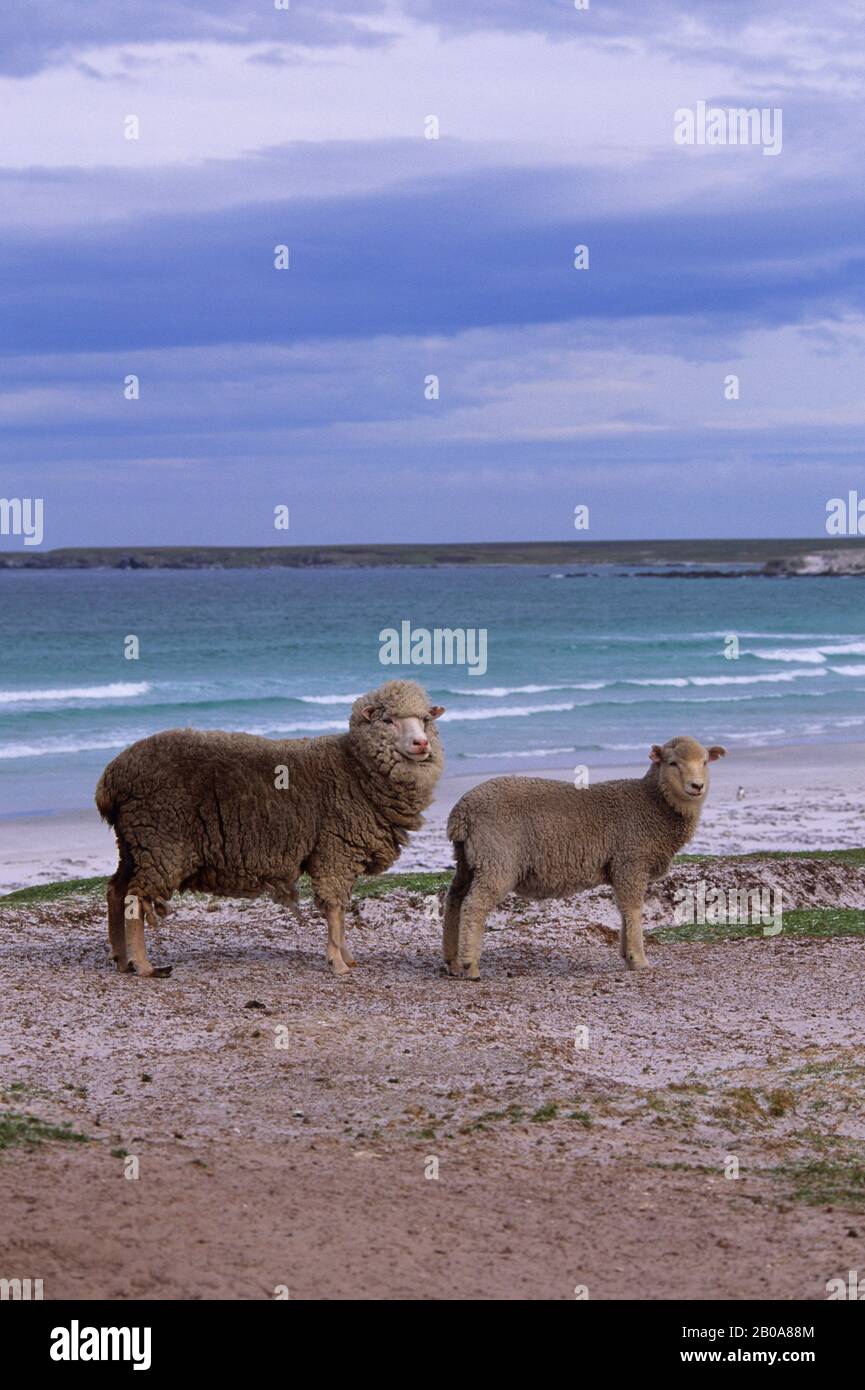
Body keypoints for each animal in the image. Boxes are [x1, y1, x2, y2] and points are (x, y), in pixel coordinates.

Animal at [95, 679, 445, 978]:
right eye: (388, 721)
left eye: (424, 719)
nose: (422, 743)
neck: (354, 768)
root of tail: (111, 779)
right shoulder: (335, 850)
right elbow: (335, 909)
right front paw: (337, 962)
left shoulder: (340, 854)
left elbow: (342, 909)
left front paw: (345, 955)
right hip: (160, 842)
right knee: (136, 897)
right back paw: (144, 965)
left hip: (135, 843)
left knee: (116, 890)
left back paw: (122, 959)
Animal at [443, 736, 726, 979]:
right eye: (672, 763)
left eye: (704, 762)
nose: (697, 786)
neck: (652, 804)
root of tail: (462, 812)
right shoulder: (631, 861)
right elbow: (633, 909)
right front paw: (639, 960)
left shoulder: (621, 867)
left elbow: (624, 910)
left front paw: (627, 956)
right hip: (497, 859)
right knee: (473, 906)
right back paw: (470, 965)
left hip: (468, 859)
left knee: (454, 899)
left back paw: (452, 962)